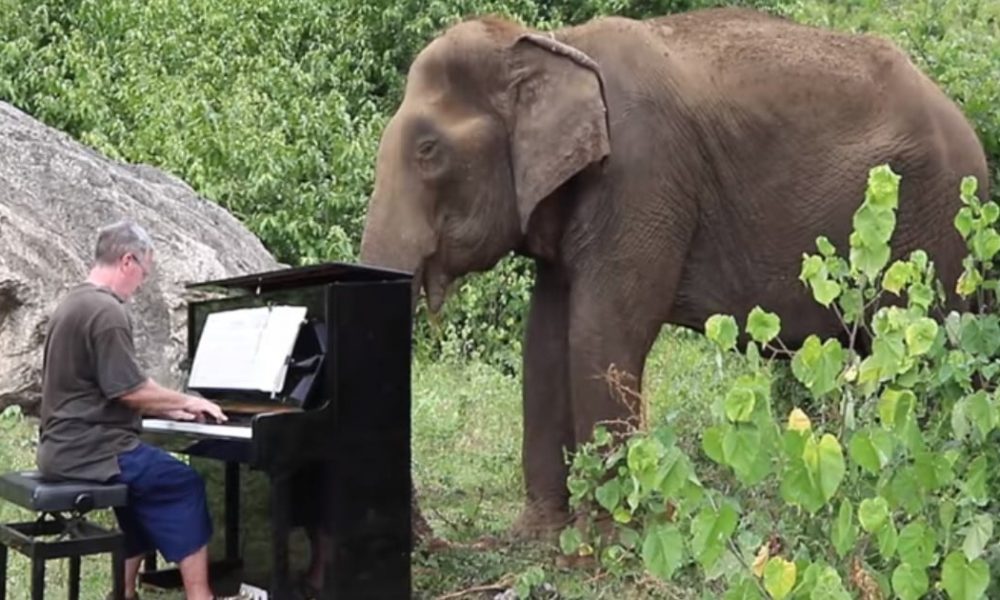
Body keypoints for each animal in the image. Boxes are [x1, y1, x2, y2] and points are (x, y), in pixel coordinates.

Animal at [359, 7, 990, 539]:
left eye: (428, 151)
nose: (432, 540)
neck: (553, 44)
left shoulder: (642, 175)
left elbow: (603, 333)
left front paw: (603, 542)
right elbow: (545, 339)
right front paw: (538, 535)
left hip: (930, 229)